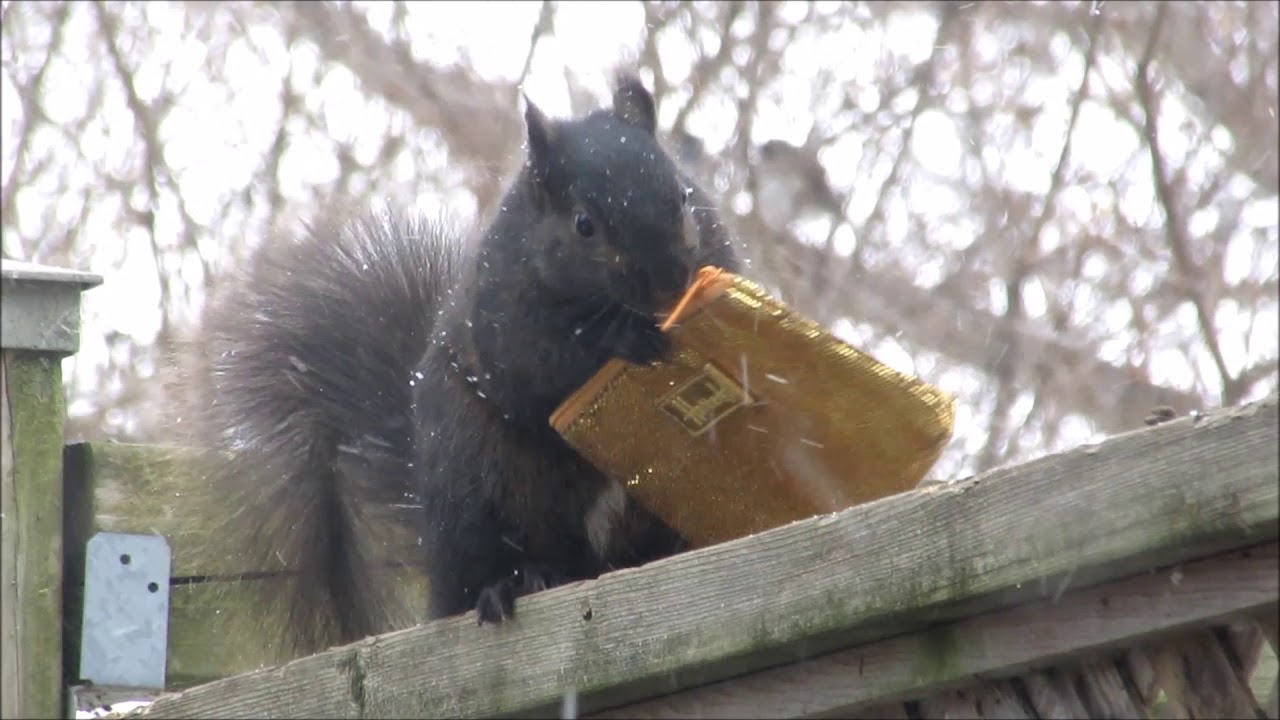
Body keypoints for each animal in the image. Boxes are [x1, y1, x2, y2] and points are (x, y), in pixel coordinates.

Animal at [178, 72, 740, 658]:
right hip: (471, 487)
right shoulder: (502, 315)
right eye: (584, 224)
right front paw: (626, 337)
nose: (670, 282)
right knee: (480, 572)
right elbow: (537, 366)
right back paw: (511, 585)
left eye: (683, 195)